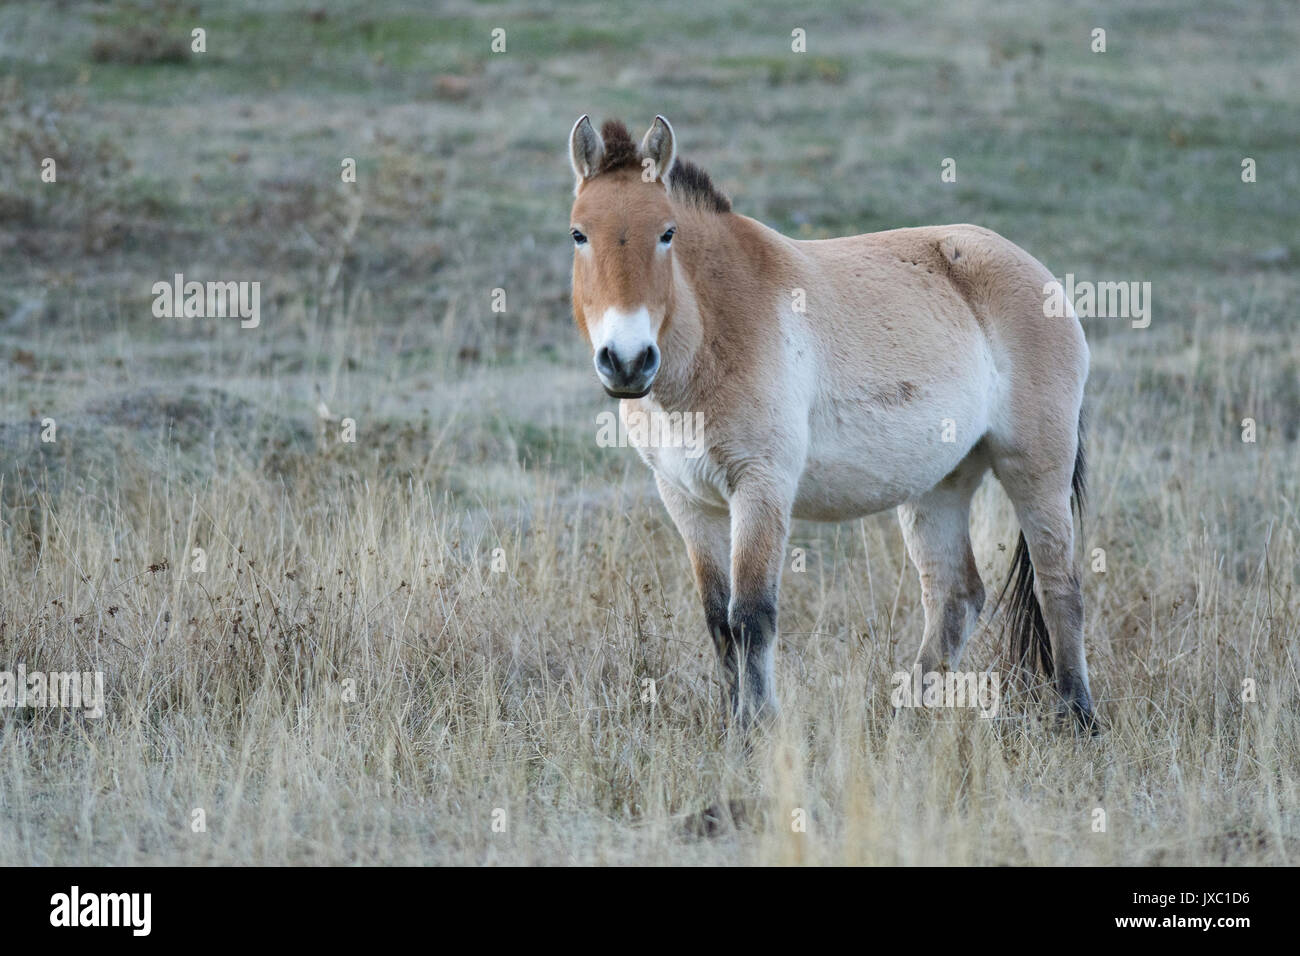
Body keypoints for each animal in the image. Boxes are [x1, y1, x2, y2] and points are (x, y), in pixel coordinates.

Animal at [566, 114, 1096, 731]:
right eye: (579, 234)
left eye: (667, 233)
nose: (627, 361)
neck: (713, 334)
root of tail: (1038, 274)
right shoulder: (686, 500)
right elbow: (718, 621)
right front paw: (733, 726)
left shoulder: (761, 487)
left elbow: (752, 616)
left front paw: (756, 730)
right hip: (939, 484)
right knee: (955, 596)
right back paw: (901, 719)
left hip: (1036, 467)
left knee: (1060, 588)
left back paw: (1079, 719)